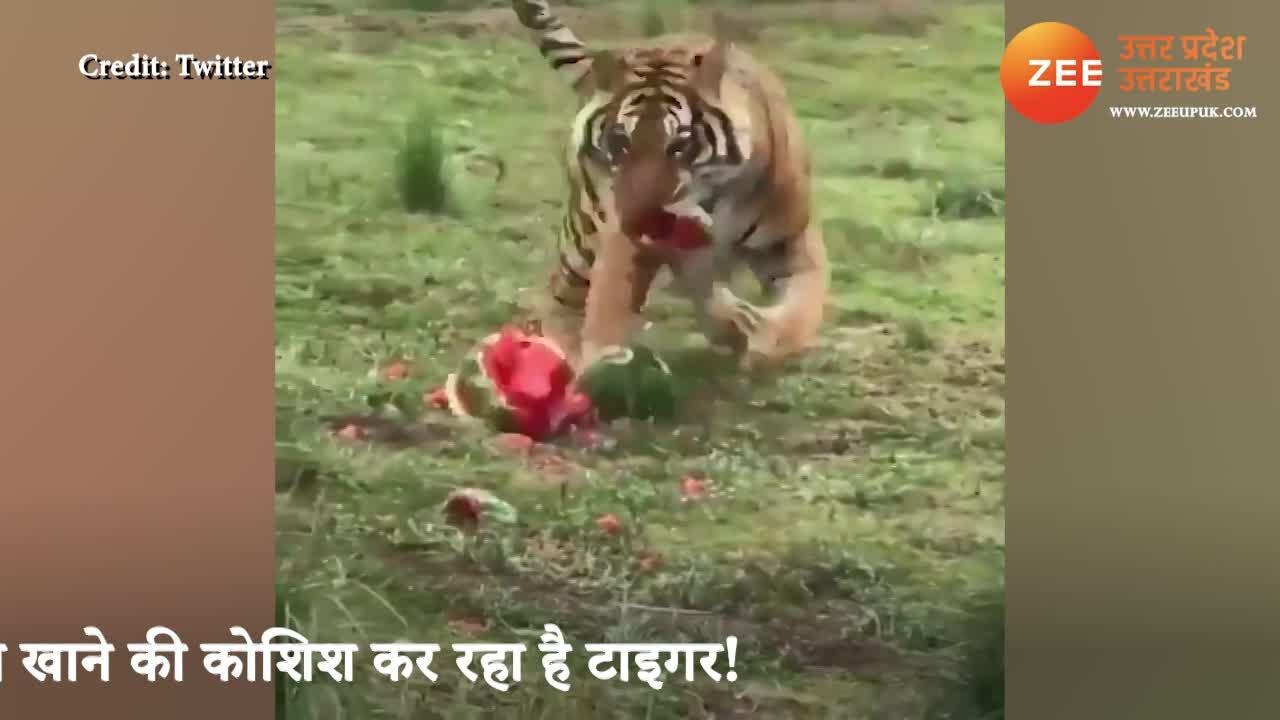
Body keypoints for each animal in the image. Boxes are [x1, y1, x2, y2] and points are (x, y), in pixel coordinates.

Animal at [510, 0, 829, 373]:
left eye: (679, 145)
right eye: (621, 143)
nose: (634, 216)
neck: (715, 205)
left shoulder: (792, 240)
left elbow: (799, 313)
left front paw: (758, 335)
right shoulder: (632, 245)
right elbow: (612, 301)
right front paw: (604, 363)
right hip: (583, 237)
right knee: (559, 294)